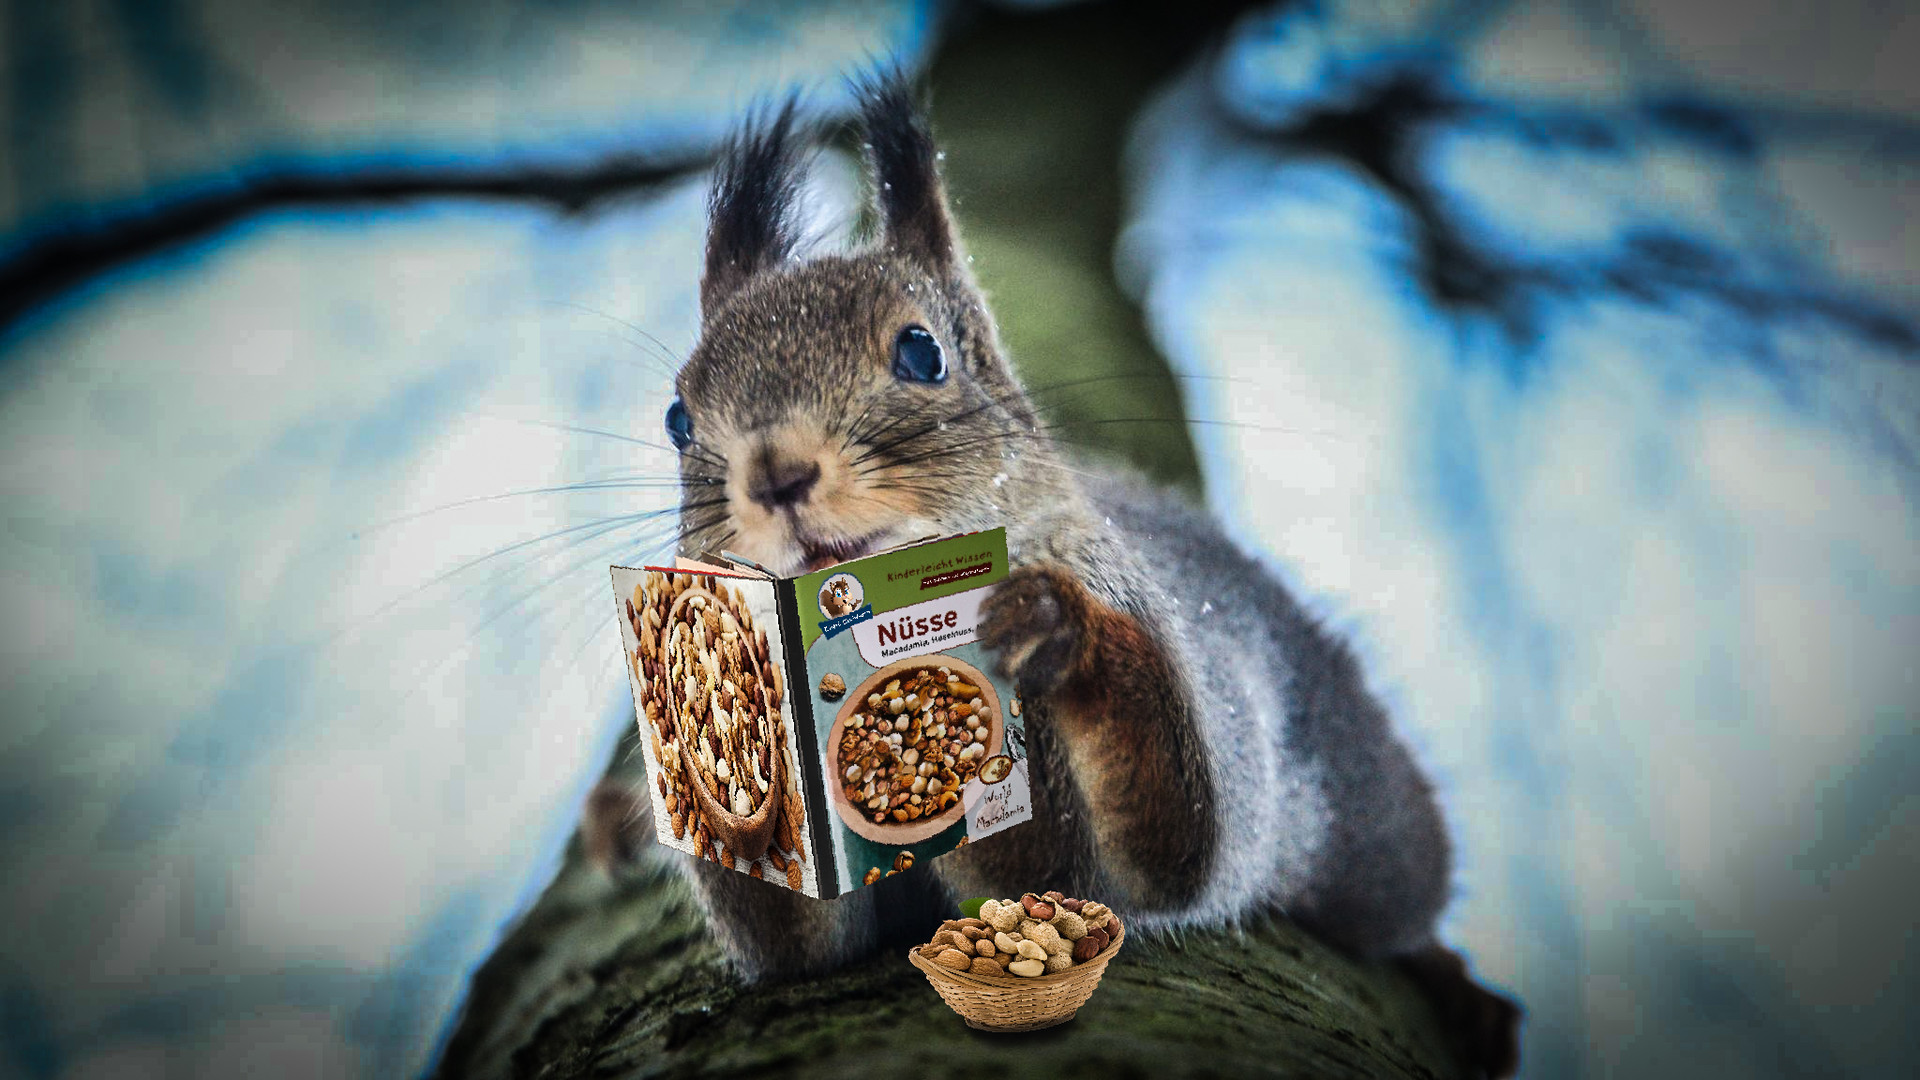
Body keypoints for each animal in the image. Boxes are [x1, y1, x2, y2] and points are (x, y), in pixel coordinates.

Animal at [586, 76, 1521, 1076]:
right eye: (679, 418)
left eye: (923, 353)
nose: (776, 473)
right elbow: (801, 951)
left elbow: (1171, 847)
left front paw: (1060, 627)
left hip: (1372, 826)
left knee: (1397, 900)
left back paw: (1455, 980)